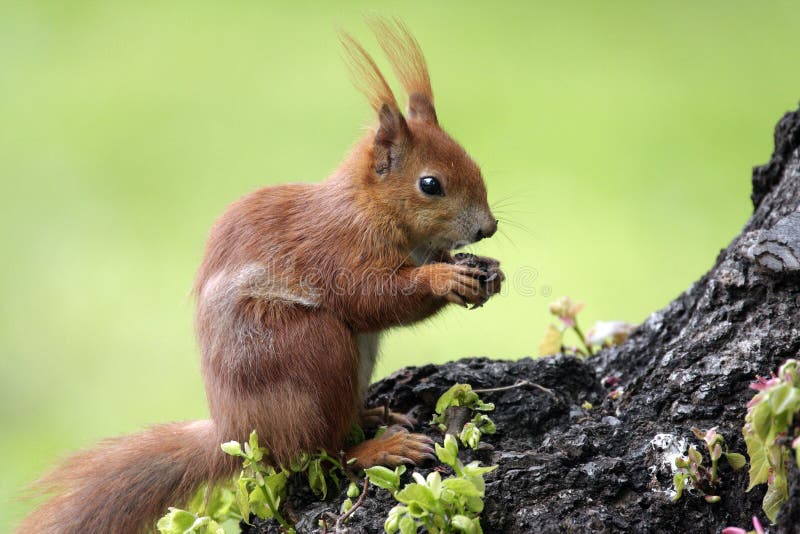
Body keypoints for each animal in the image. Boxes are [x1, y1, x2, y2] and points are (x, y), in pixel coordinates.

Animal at [18, 18, 503, 534]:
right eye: (430, 184)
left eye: (472, 161)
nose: (488, 228)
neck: (371, 208)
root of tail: (236, 433)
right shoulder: (335, 250)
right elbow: (372, 297)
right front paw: (443, 280)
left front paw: (488, 274)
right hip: (306, 347)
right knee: (322, 453)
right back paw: (380, 447)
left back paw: (373, 411)